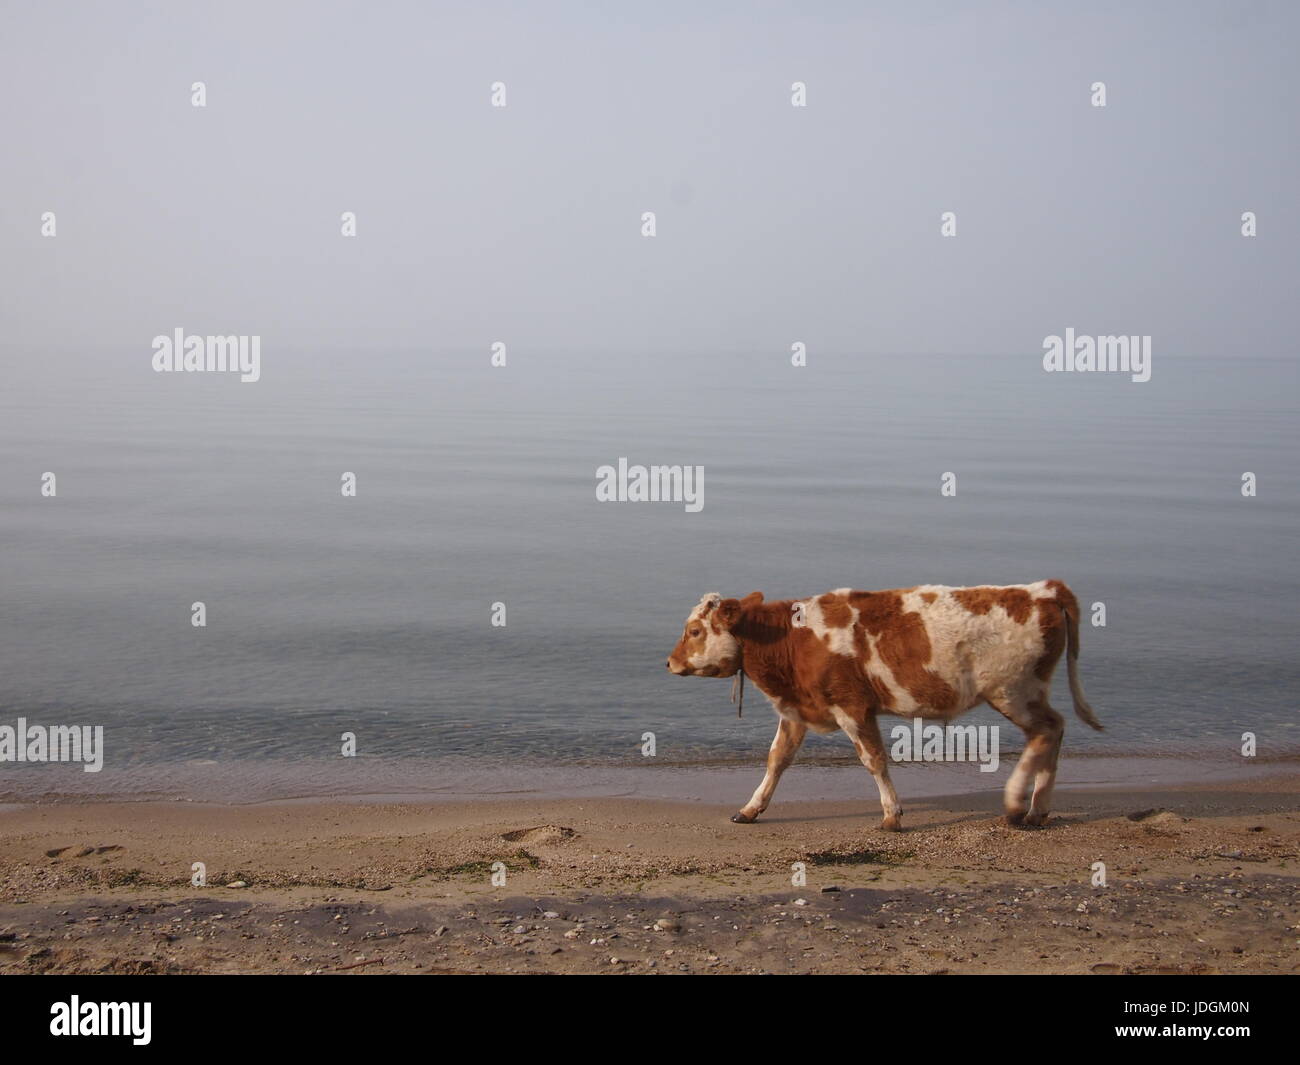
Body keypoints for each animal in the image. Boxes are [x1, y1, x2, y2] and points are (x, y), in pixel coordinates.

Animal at [666, 581, 1102, 830]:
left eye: (695, 630)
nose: (669, 662)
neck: (791, 638)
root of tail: (1042, 589)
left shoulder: (852, 705)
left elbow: (873, 759)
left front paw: (892, 814)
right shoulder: (800, 709)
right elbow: (777, 759)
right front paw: (751, 808)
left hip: (1014, 690)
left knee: (1047, 731)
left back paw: (1016, 803)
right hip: (1021, 691)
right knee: (1053, 733)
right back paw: (1037, 809)